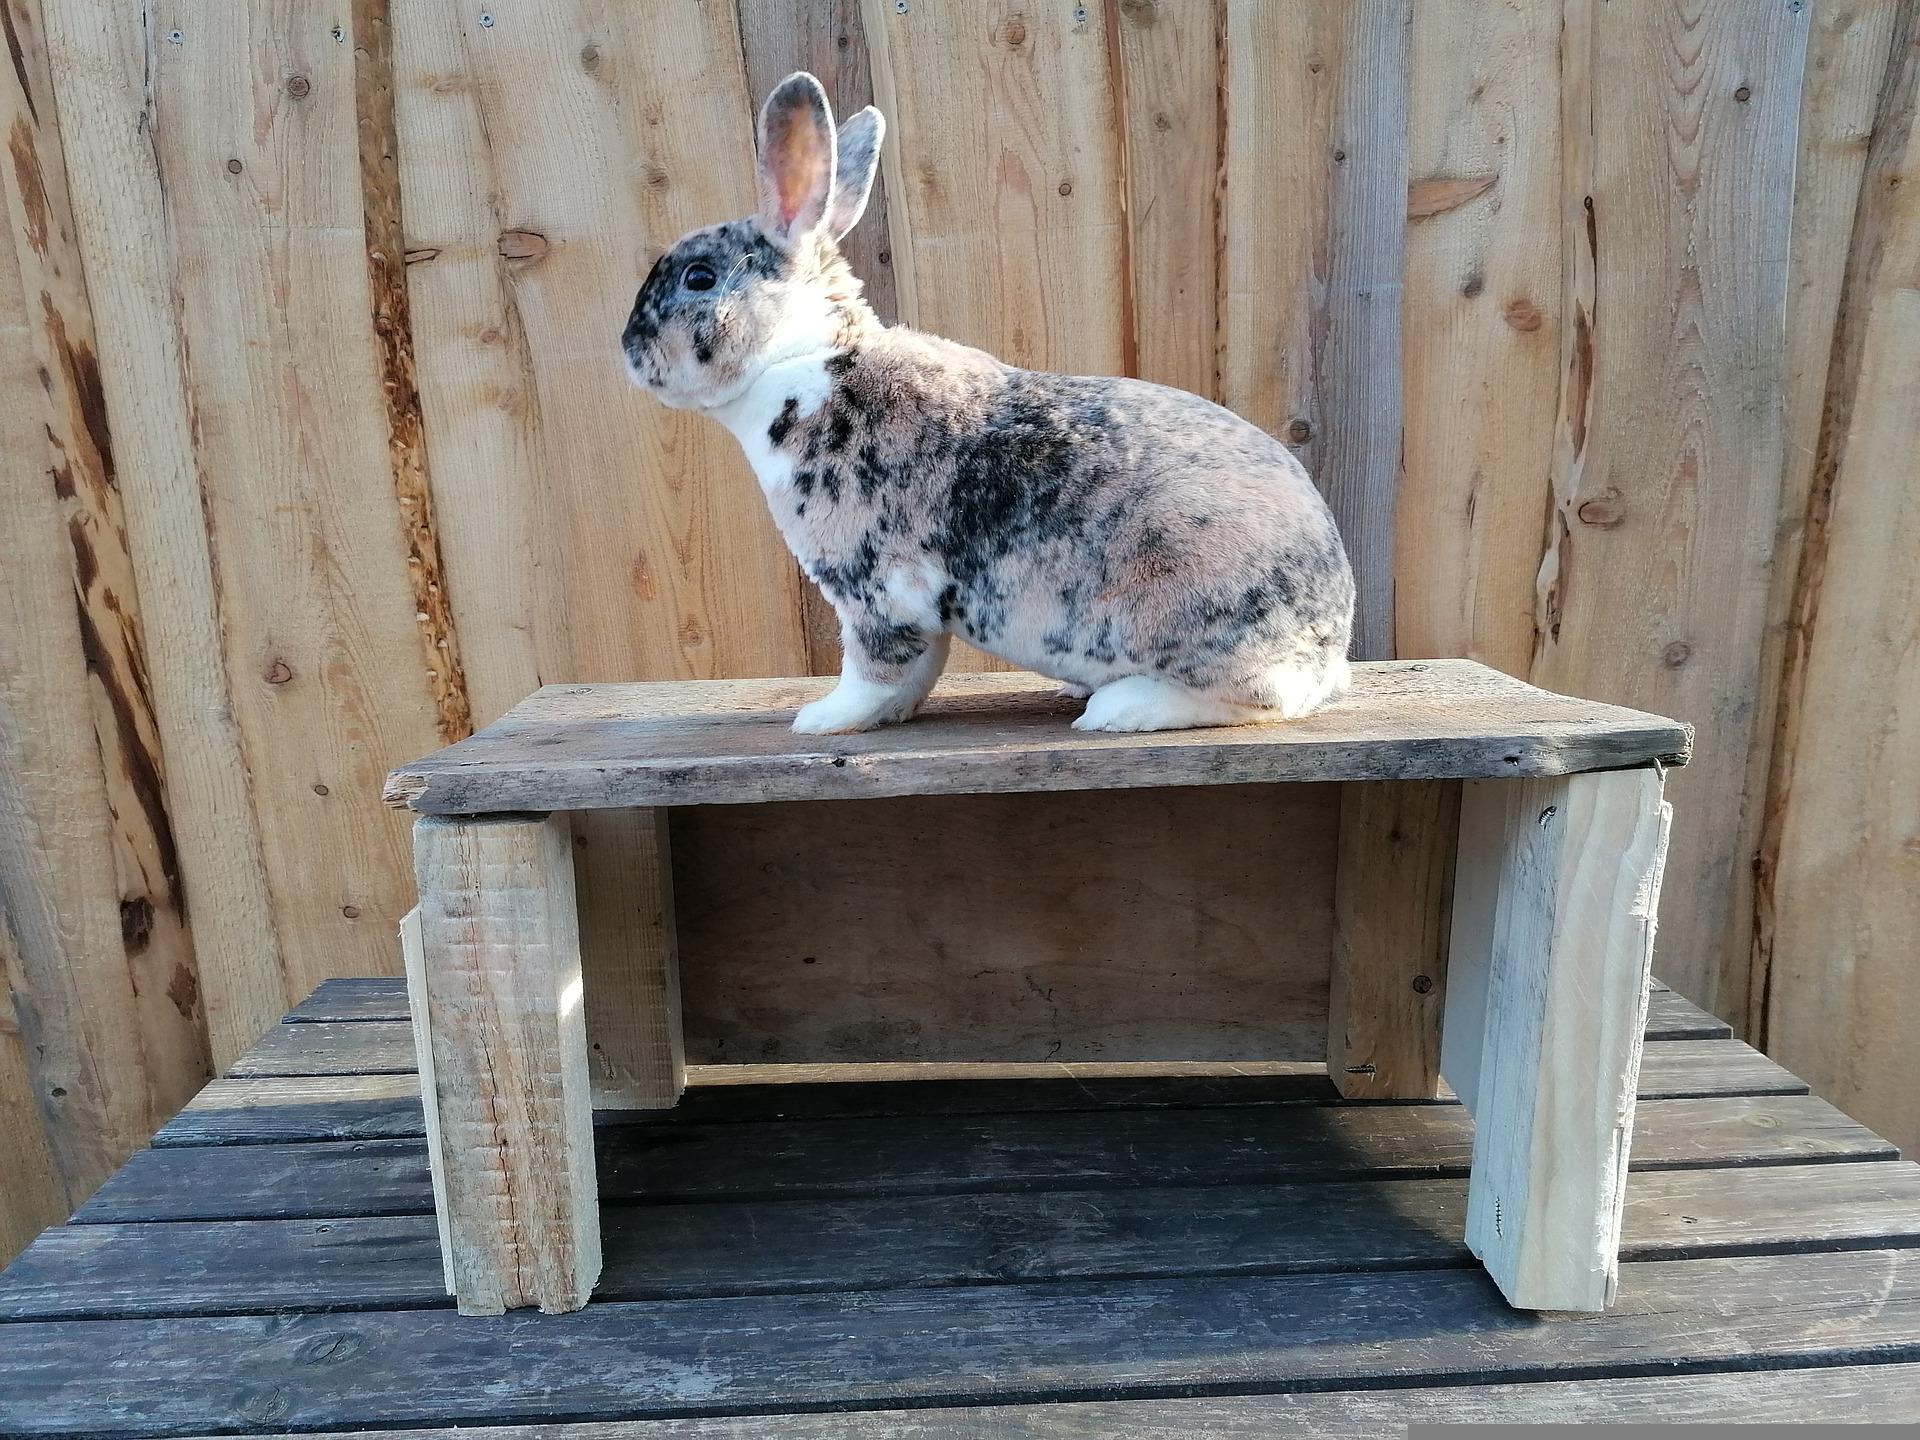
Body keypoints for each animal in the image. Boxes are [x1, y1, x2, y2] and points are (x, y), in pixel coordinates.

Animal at [622, 72, 1355, 735]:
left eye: (698, 277)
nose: (628, 347)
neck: (800, 358)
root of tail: (1330, 643)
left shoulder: (877, 591)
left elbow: (873, 670)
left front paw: (822, 721)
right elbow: (914, 676)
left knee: (1261, 698)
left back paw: (1118, 709)